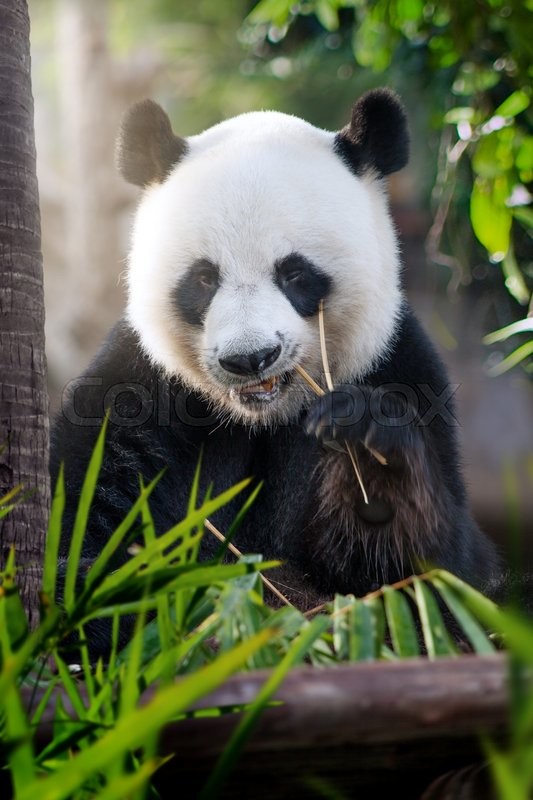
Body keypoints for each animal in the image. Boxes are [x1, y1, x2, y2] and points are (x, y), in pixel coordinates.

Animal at [51, 88, 498, 637]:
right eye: (204, 279)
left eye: (295, 274)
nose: (250, 358)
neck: (260, 417)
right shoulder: (137, 389)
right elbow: (83, 528)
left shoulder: (400, 369)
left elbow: (436, 584)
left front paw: (367, 445)